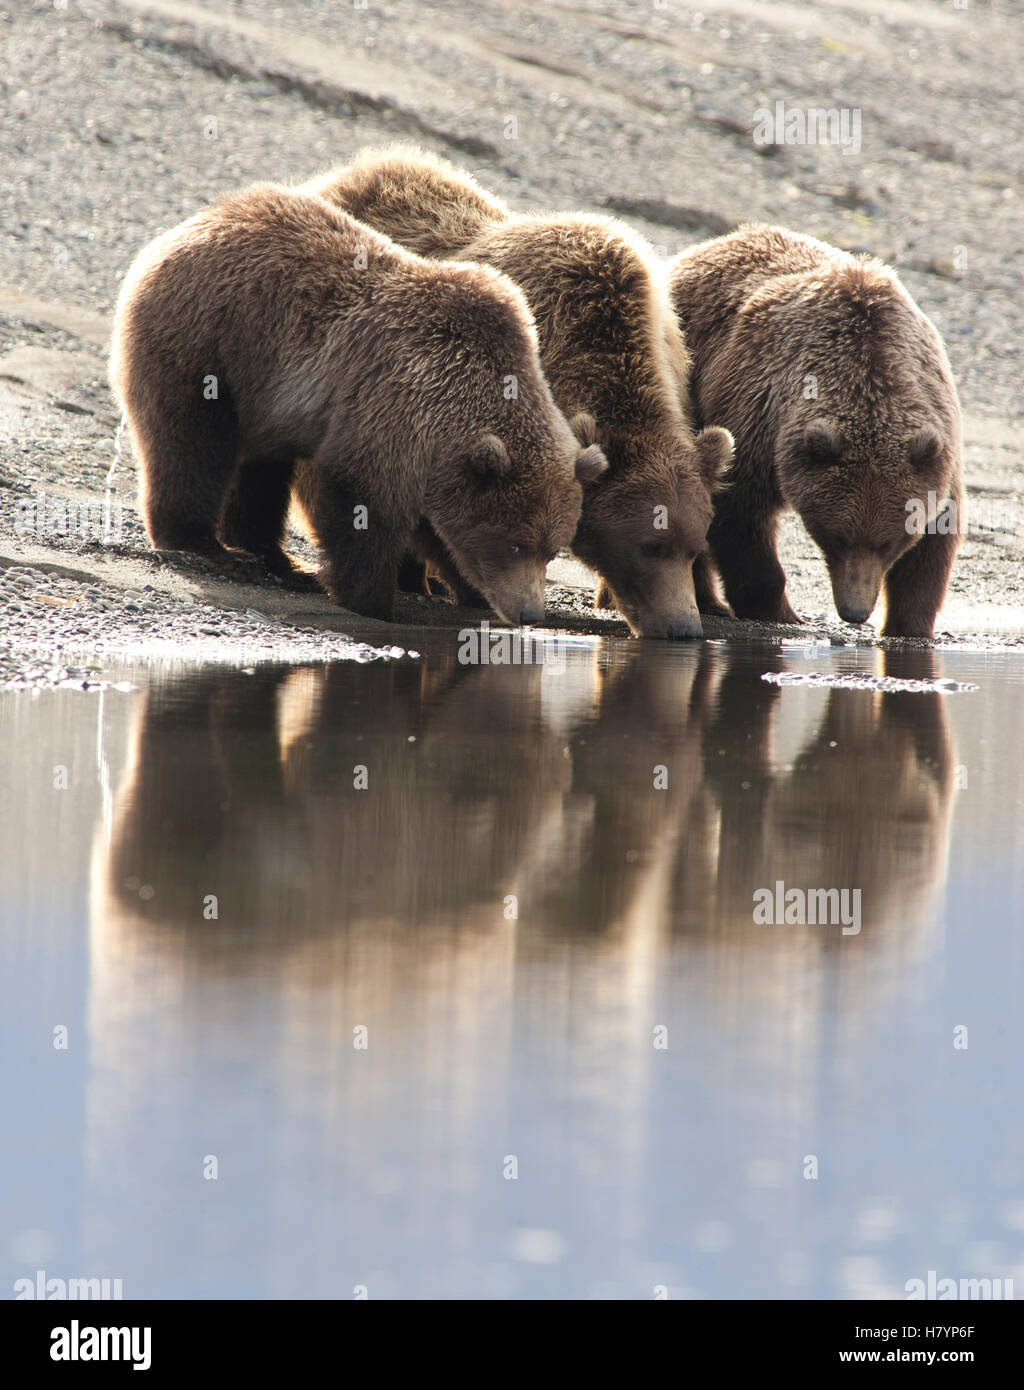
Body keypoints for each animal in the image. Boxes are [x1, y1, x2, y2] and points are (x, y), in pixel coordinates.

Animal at [109, 184, 607, 625]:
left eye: (552, 548)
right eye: (515, 544)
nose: (531, 613)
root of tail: (194, 222)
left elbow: (440, 528)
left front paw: (468, 590)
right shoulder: (393, 408)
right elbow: (362, 504)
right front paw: (370, 597)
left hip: (263, 394)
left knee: (261, 469)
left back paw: (273, 556)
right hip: (213, 341)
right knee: (190, 443)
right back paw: (199, 541)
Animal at [667, 224, 964, 638]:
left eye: (888, 543)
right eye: (836, 537)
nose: (855, 611)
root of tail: (711, 245)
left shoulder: (936, 443)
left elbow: (935, 541)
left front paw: (908, 625)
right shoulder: (761, 417)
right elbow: (740, 512)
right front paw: (777, 609)